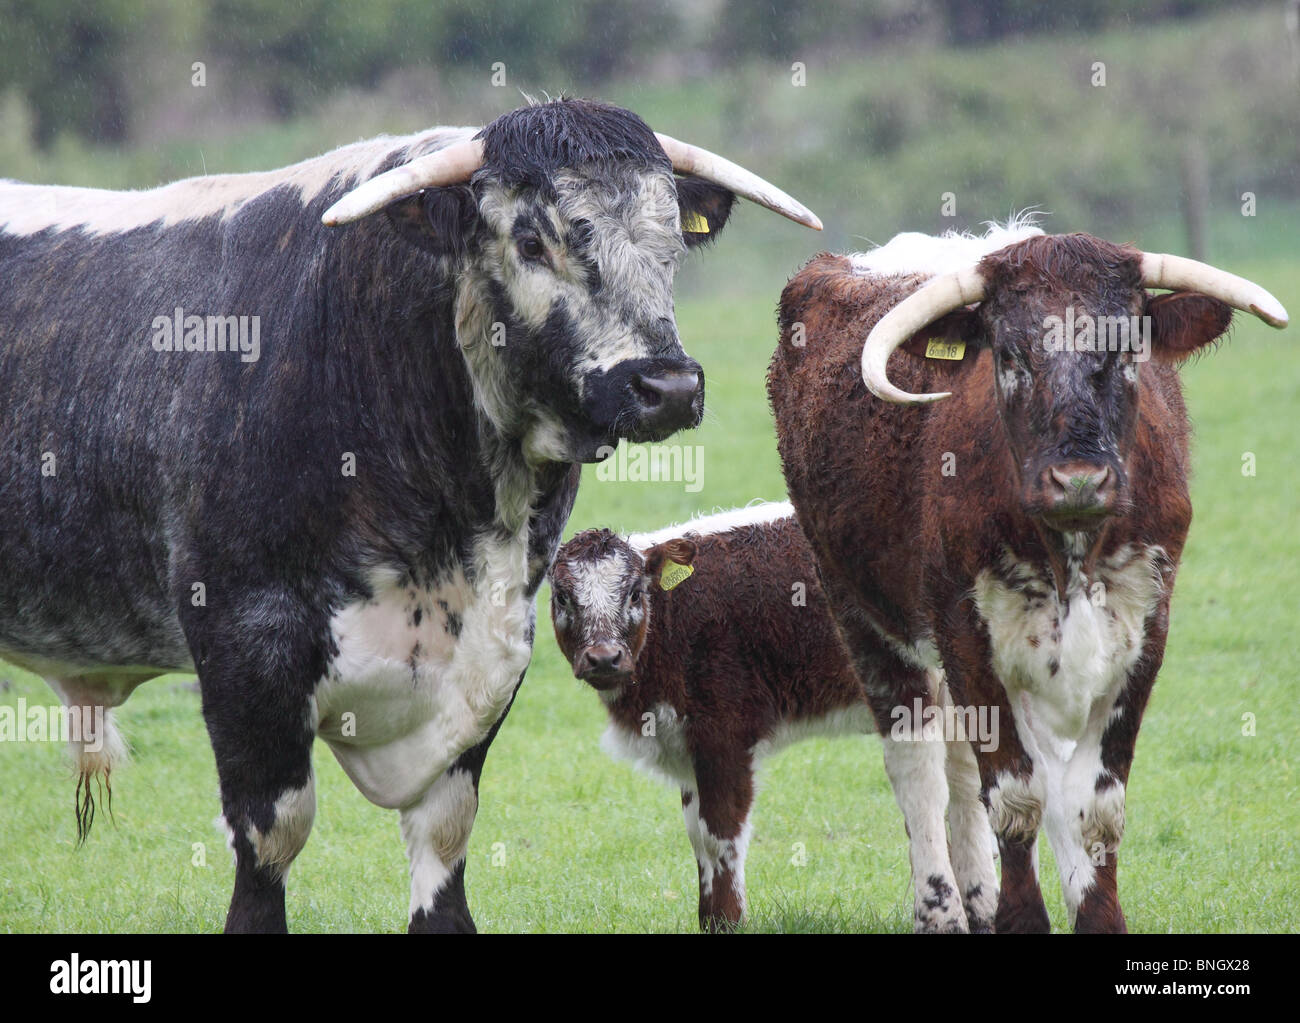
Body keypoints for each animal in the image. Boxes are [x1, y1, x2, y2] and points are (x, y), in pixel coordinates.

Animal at [0, 97, 820, 933]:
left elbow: (445, 833)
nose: (667, 386)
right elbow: (272, 831)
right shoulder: (243, 638)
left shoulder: (496, 647)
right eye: (532, 239)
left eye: (670, 238)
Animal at [548, 504, 996, 931]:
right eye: (562, 597)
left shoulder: (725, 736)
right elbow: (696, 836)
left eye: (635, 593)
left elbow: (719, 836)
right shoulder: (688, 746)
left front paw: (726, 922)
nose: (605, 658)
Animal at [768, 218, 1287, 932]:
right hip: (861, 609)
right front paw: (1020, 918)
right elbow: (1015, 797)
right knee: (921, 770)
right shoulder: (967, 633)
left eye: (1127, 350)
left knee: (988, 774)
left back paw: (980, 898)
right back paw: (942, 907)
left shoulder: (1143, 633)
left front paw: (1095, 914)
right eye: (1010, 356)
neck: (1072, 551)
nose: (1079, 479)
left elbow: (1093, 804)